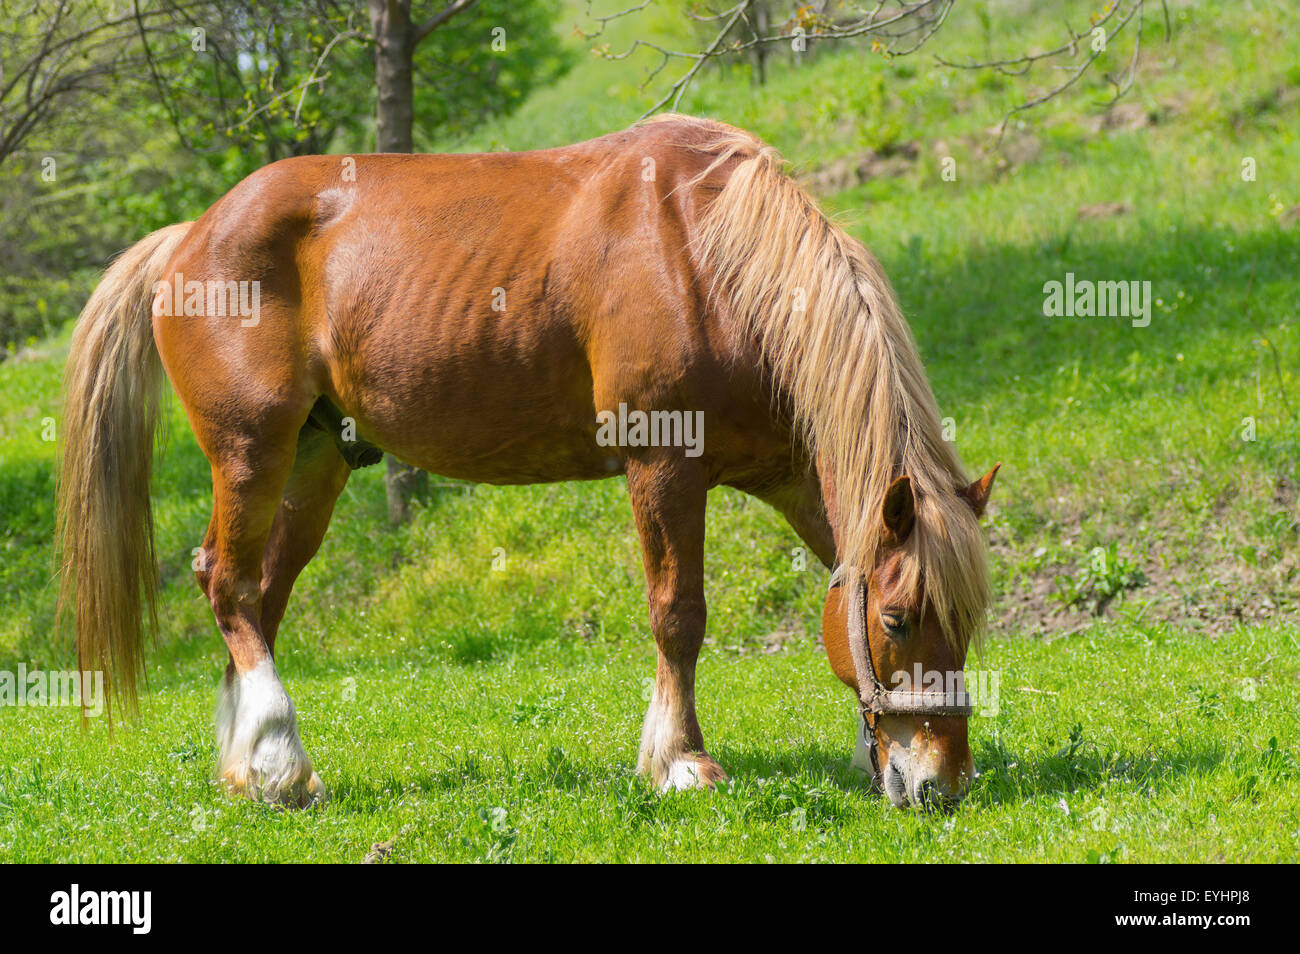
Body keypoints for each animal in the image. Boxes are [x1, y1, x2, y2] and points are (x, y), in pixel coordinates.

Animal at [57, 114, 998, 811]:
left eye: (968, 621)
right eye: (898, 621)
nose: (942, 782)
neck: (707, 257)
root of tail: (188, 236)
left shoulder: (796, 477)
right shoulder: (663, 465)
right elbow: (678, 616)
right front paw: (680, 760)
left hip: (315, 462)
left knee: (257, 594)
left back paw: (253, 770)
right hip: (251, 451)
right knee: (226, 582)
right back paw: (280, 758)